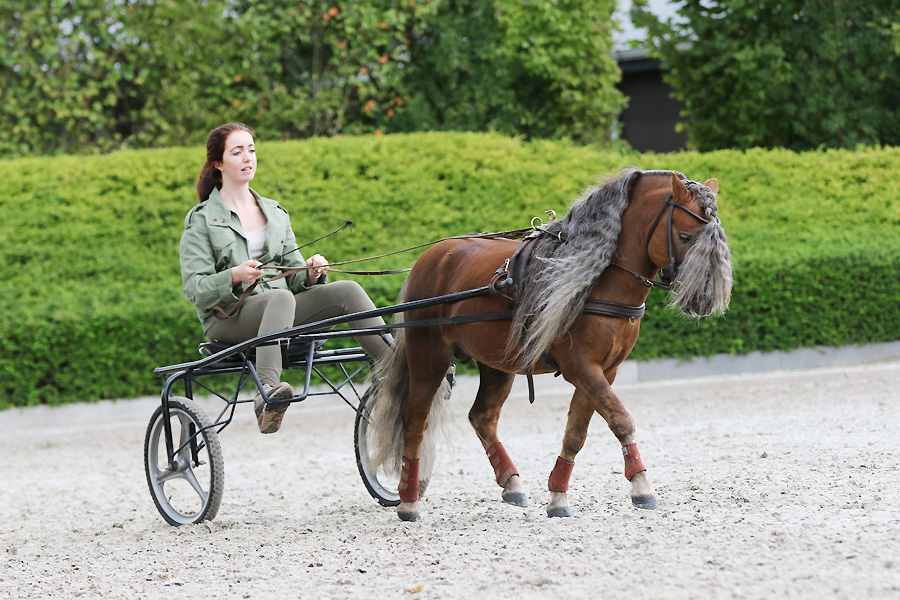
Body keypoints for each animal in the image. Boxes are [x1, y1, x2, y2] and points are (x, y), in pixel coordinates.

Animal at [365, 168, 732, 521]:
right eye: (684, 235)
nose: (702, 298)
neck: (595, 278)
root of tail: (432, 256)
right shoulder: (581, 367)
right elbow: (620, 419)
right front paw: (641, 485)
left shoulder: (604, 371)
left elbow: (576, 433)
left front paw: (558, 496)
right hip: (429, 354)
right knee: (415, 419)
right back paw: (409, 500)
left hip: (498, 362)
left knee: (482, 416)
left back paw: (511, 482)